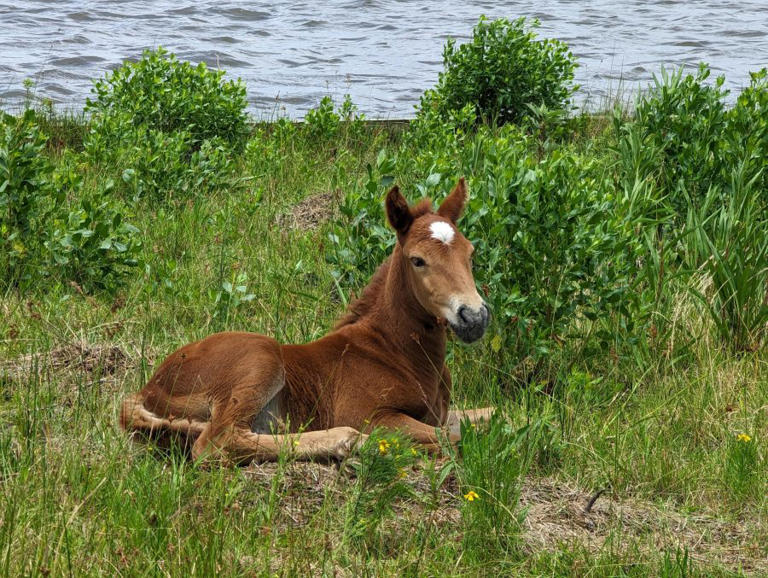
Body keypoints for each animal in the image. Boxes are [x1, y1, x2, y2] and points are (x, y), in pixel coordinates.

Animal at [120, 178, 491, 462]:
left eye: (470, 253)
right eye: (418, 260)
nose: (474, 316)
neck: (397, 353)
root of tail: (149, 387)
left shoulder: (444, 413)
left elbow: (494, 416)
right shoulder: (372, 416)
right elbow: (452, 439)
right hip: (261, 357)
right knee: (217, 442)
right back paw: (346, 441)